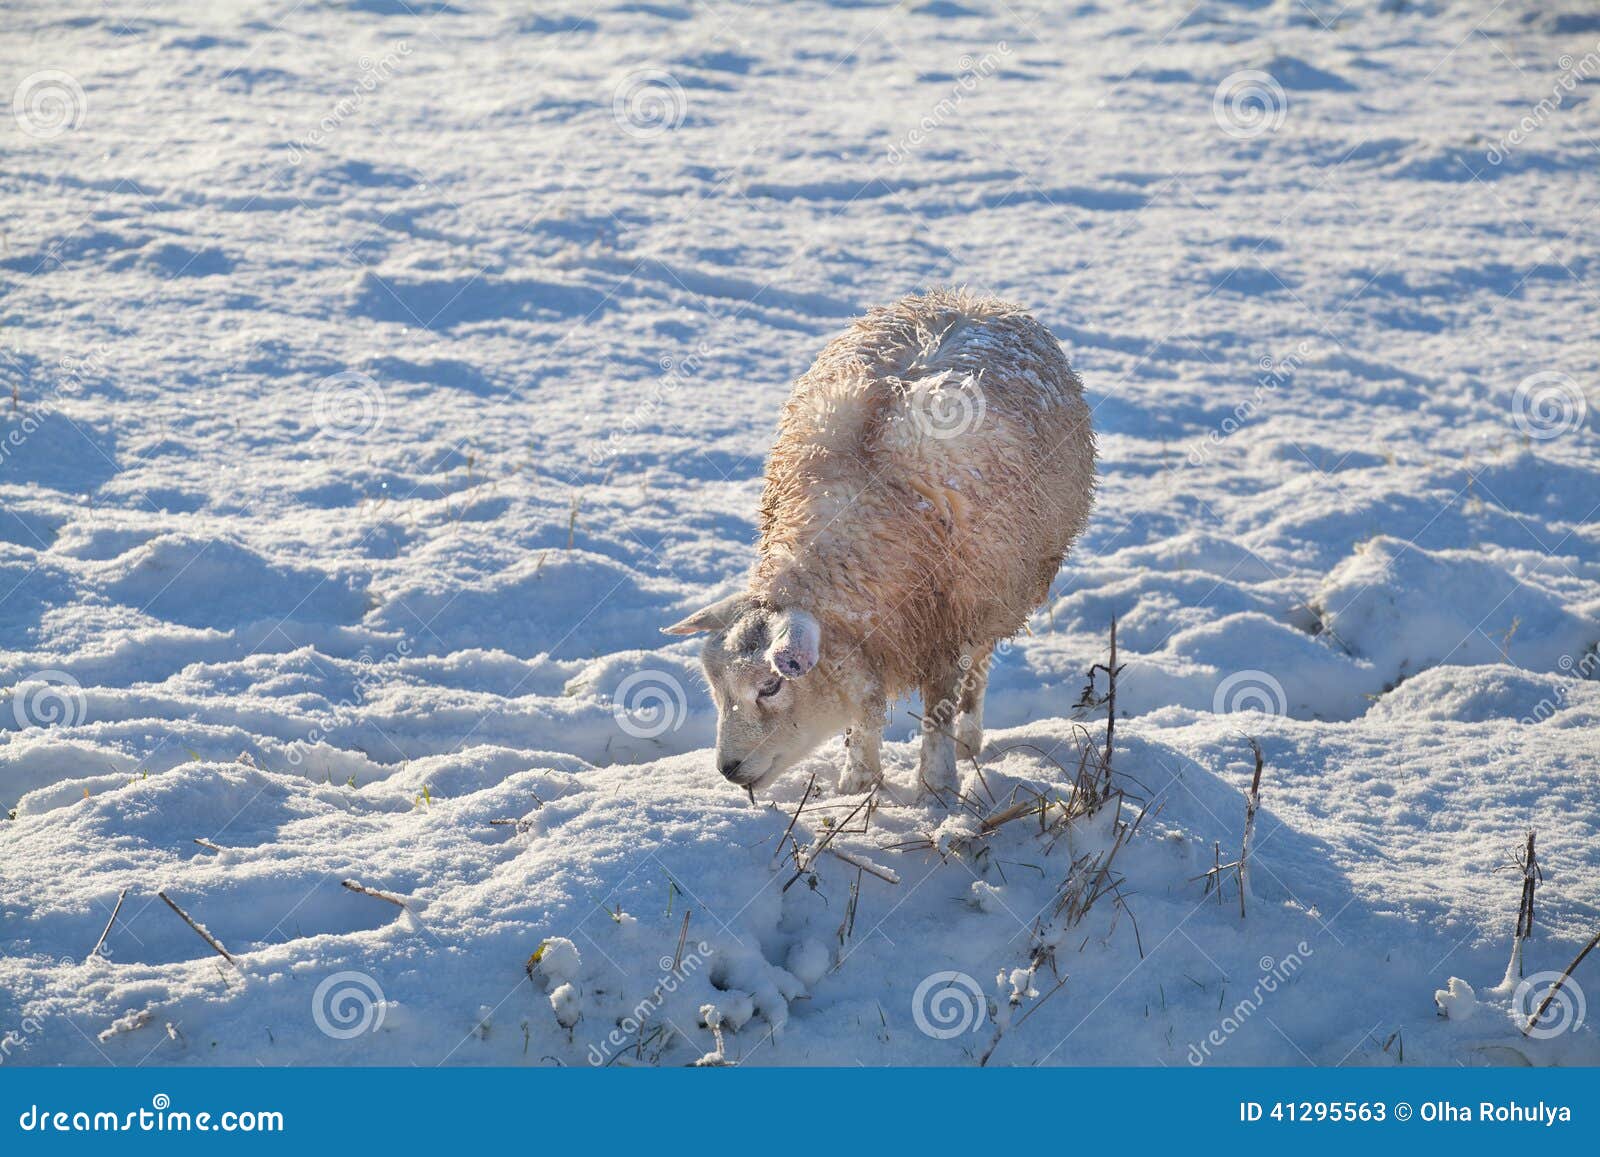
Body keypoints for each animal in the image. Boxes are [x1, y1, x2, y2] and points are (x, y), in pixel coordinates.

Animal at [664, 288, 1095, 795]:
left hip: (1000, 592)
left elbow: (938, 710)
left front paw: (936, 787)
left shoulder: (948, 619)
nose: (727, 770)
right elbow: (863, 713)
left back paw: (968, 742)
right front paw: (858, 782)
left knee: (979, 669)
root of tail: (973, 297)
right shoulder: (872, 639)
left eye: (770, 686)